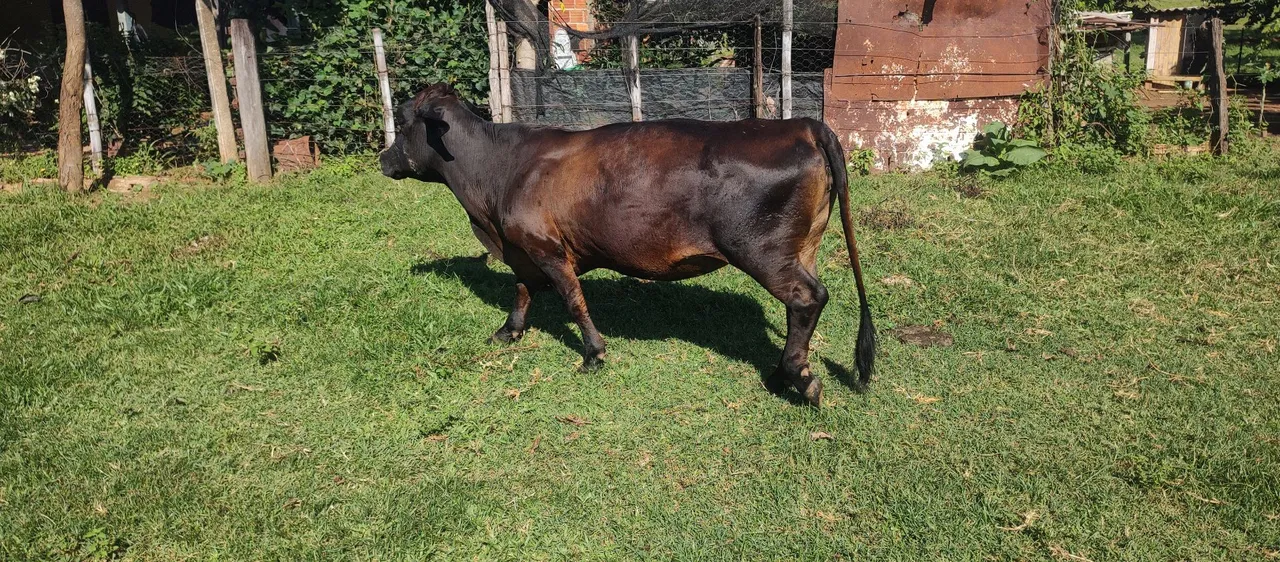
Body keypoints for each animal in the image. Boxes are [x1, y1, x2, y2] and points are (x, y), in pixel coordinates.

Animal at [380, 83, 875, 406]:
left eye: (402, 122)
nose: (382, 159)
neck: (498, 174)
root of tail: (802, 124)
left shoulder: (547, 249)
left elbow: (573, 300)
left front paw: (593, 353)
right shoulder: (523, 248)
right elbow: (520, 289)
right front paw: (510, 330)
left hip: (762, 250)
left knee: (808, 297)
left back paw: (797, 380)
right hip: (802, 245)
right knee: (802, 305)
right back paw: (781, 372)